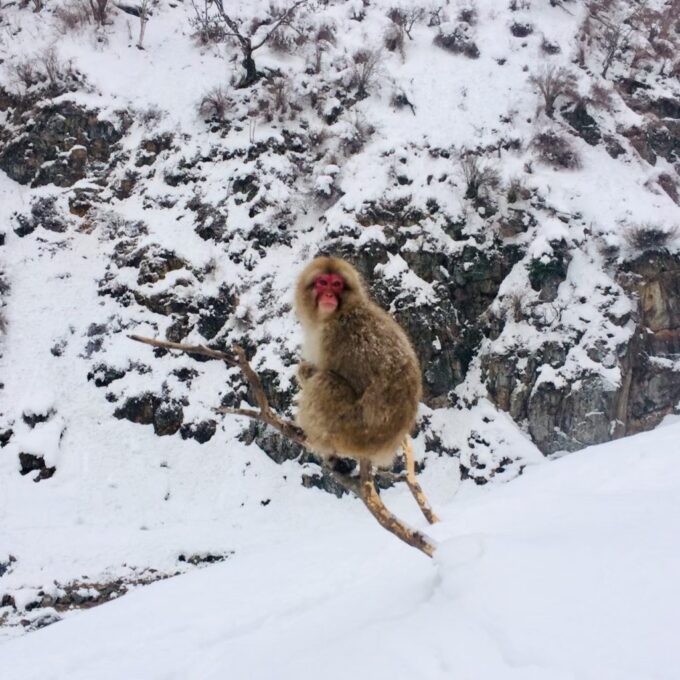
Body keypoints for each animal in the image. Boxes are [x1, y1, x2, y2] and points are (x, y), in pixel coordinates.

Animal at [294, 256, 422, 469]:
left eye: (337, 284)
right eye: (322, 282)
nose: (328, 294)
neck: (340, 313)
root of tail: (383, 449)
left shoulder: (333, 336)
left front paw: (304, 371)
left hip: (351, 431)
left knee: (324, 382)